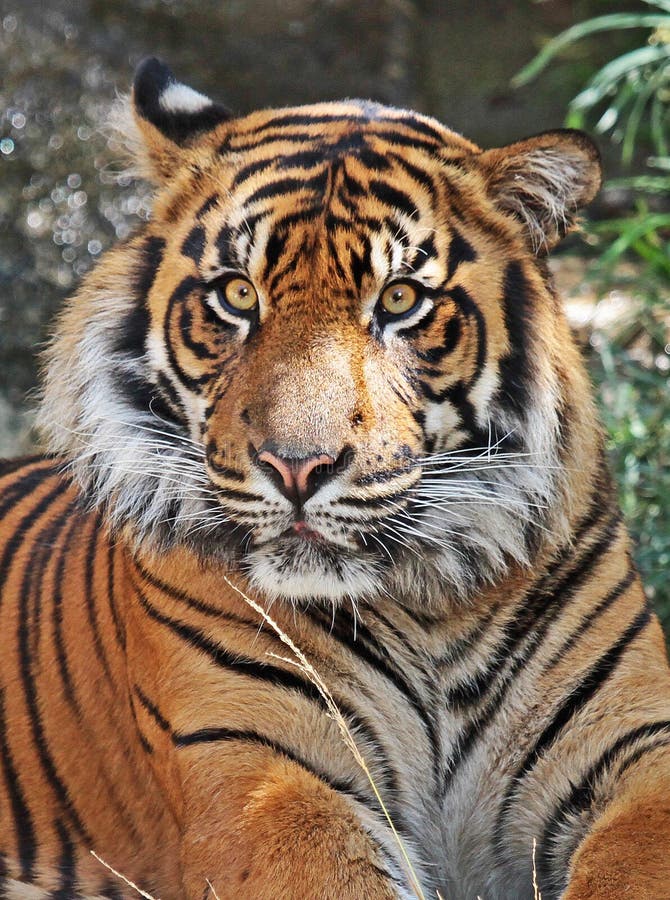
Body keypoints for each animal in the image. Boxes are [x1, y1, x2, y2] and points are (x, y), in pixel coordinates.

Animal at [1, 54, 669, 900]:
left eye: (400, 299)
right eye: (237, 293)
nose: (297, 467)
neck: (430, 610)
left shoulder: (637, 746)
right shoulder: (262, 775)